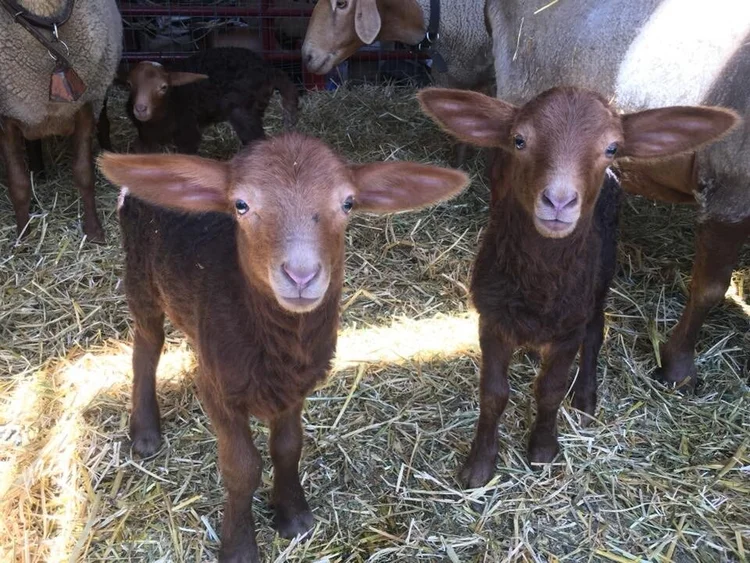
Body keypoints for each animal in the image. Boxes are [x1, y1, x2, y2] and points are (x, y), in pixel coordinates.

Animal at [0, 0, 122, 242]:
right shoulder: (8, 116)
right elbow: (17, 183)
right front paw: (23, 237)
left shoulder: (85, 104)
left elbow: (84, 173)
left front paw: (94, 231)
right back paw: (38, 172)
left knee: (104, 123)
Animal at [98, 132, 468, 562]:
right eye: (241, 204)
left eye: (348, 203)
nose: (301, 275)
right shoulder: (218, 388)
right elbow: (242, 467)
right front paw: (239, 545)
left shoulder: (296, 386)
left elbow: (289, 447)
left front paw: (293, 515)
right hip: (140, 275)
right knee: (146, 345)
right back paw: (144, 431)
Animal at [123, 47, 299, 155]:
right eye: (129, 84)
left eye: (164, 87)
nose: (140, 108)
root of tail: (269, 69)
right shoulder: (145, 135)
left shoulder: (187, 131)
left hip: (243, 110)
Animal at [418, 86, 738, 486]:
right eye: (519, 140)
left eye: (612, 147)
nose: (559, 201)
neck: (539, 283)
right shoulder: (491, 319)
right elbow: (493, 394)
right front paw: (479, 466)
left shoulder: (569, 327)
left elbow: (550, 389)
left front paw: (542, 449)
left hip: (600, 278)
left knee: (596, 333)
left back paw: (585, 397)